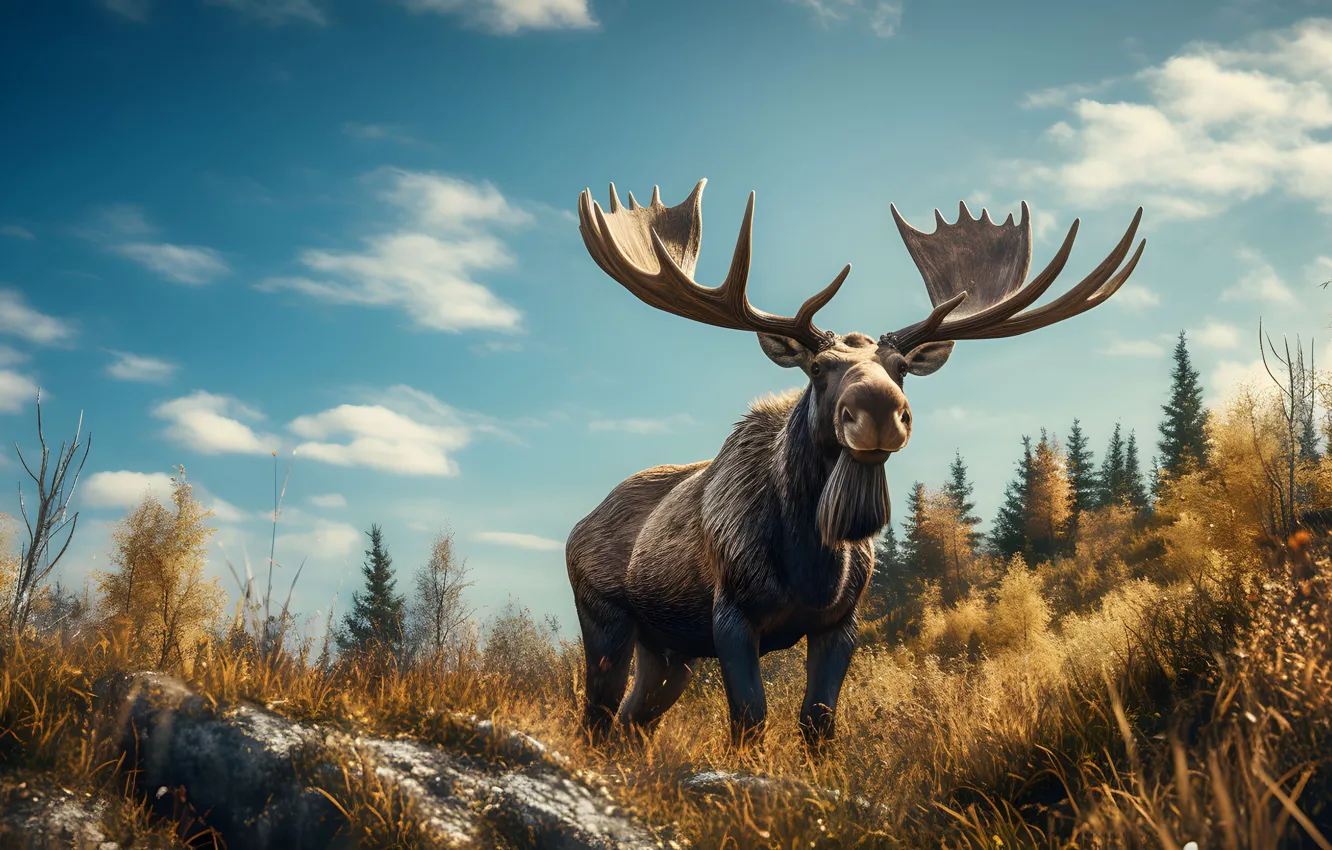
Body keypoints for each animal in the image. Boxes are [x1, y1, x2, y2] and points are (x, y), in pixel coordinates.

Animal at [565, 178, 1145, 749]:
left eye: (901, 368)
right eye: (818, 366)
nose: (880, 410)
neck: (810, 562)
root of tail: (579, 527)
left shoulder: (841, 621)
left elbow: (819, 722)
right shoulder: (730, 612)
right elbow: (751, 720)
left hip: (668, 650)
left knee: (632, 720)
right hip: (605, 618)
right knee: (597, 714)